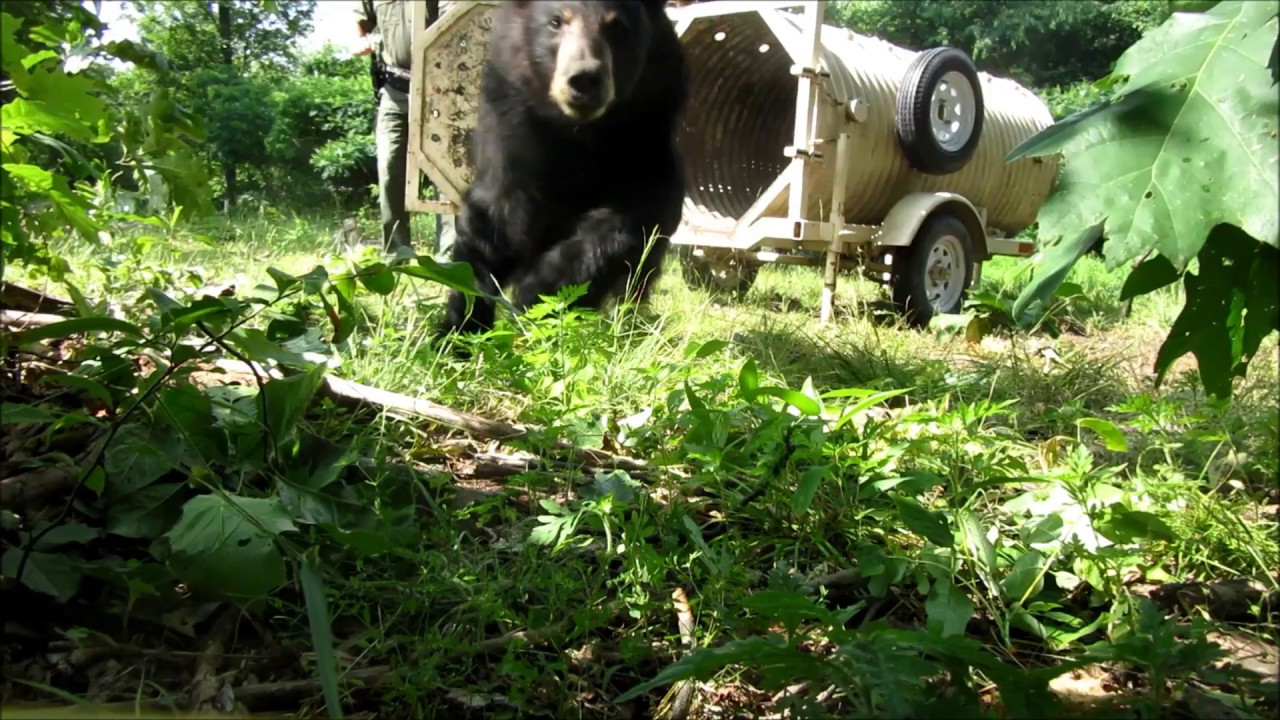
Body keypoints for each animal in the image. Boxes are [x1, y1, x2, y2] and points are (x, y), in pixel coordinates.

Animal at [435, 0, 690, 343]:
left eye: (617, 26)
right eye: (556, 21)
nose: (584, 78)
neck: (578, 134)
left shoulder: (648, 138)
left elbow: (637, 218)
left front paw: (542, 292)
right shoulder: (511, 136)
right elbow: (492, 221)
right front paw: (460, 330)